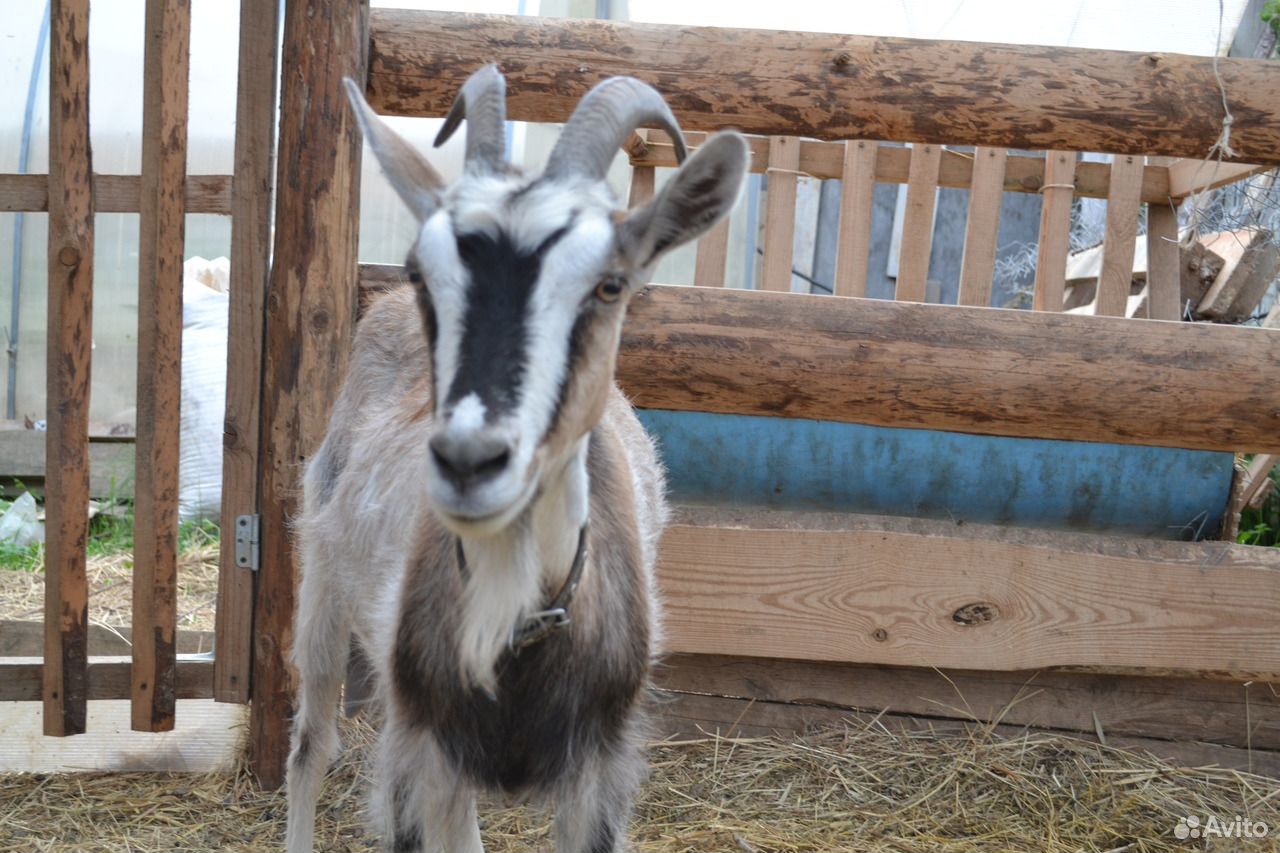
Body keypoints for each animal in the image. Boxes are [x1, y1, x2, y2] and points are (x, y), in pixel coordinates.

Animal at [284, 66, 748, 853]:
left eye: (610, 283)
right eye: (422, 271)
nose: (470, 461)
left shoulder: (600, 772)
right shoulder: (418, 752)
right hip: (321, 577)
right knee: (310, 745)